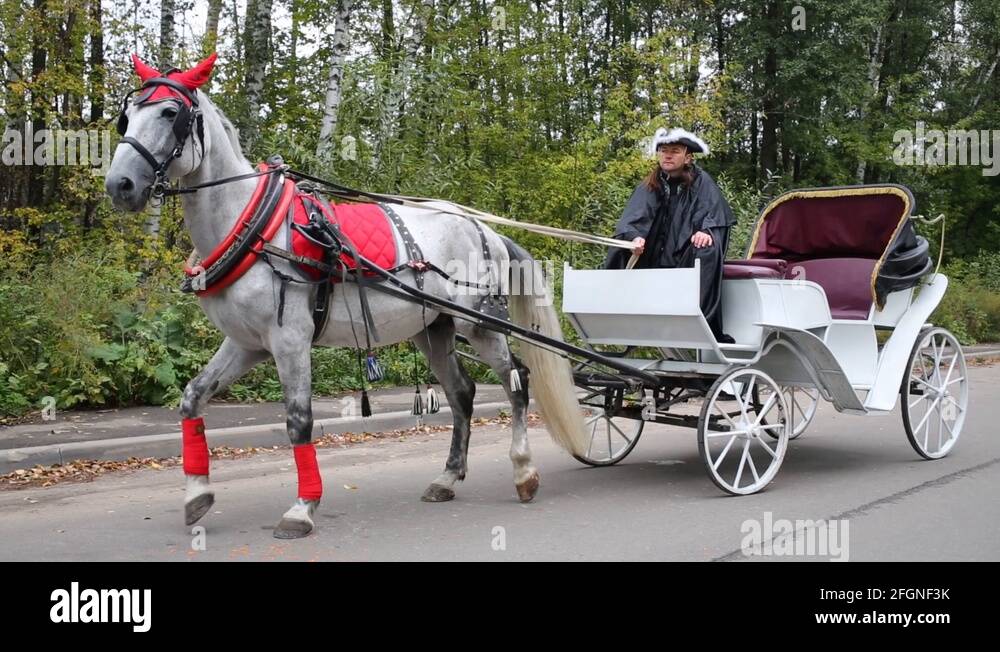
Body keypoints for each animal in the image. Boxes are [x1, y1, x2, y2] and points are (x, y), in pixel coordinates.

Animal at [104, 53, 588, 539]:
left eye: (170, 113)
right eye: (128, 115)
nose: (119, 184)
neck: (255, 226)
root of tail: (483, 228)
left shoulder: (290, 340)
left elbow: (299, 420)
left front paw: (302, 508)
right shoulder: (246, 344)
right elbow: (193, 397)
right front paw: (197, 495)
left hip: (481, 324)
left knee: (516, 381)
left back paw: (523, 471)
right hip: (434, 329)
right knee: (462, 393)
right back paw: (448, 477)